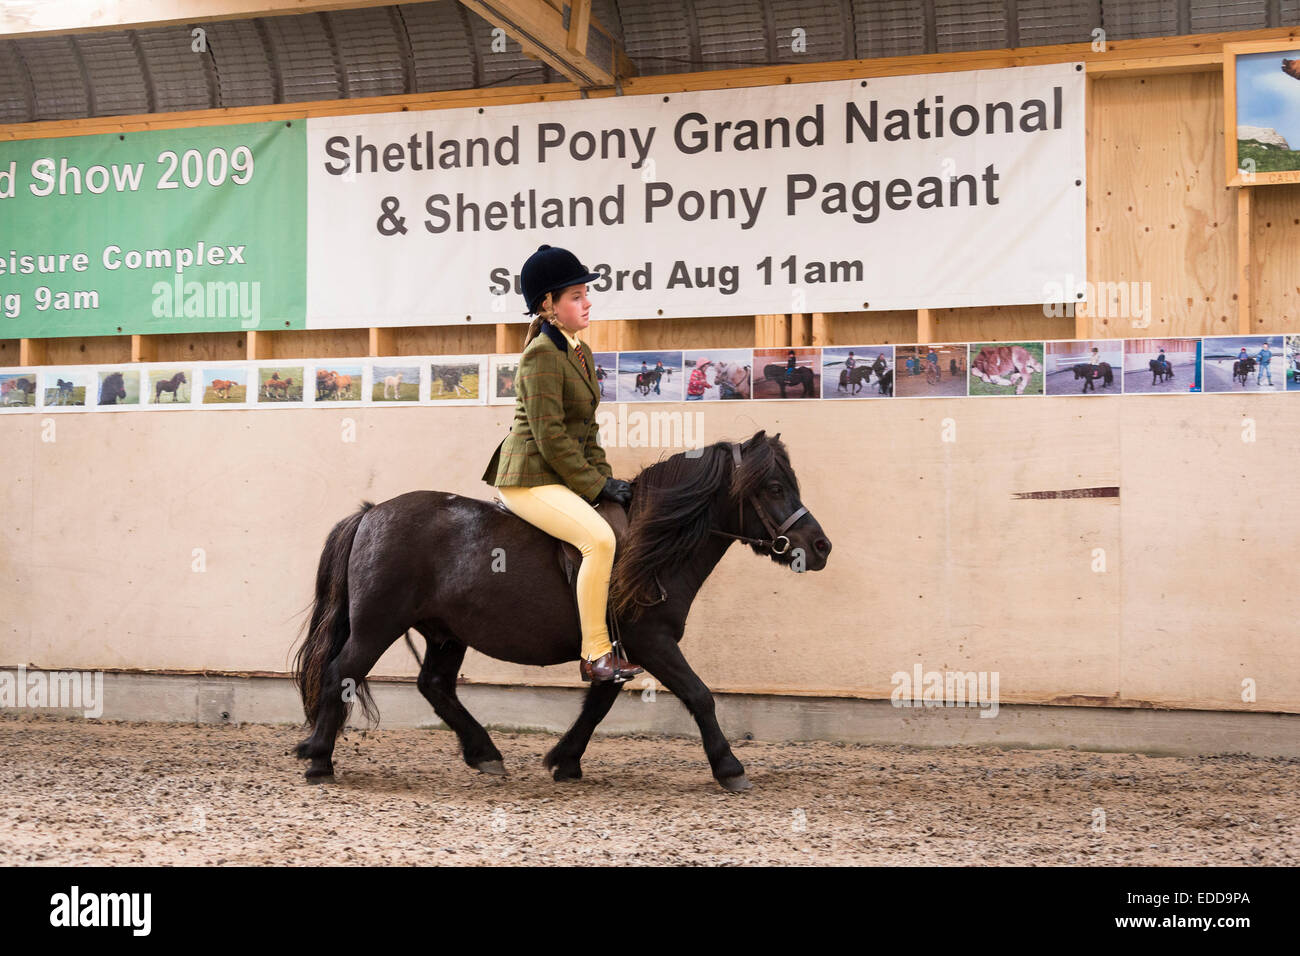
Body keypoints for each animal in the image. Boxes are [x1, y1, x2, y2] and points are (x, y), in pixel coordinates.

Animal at [291, 429, 831, 792]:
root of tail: (371, 514)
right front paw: (729, 767)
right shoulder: (652, 641)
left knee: (435, 686)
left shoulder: (618, 650)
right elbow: (699, 696)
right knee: (342, 672)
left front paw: (565, 761)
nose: (820, 546)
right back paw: (319, 761)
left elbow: (599, 703)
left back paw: (484, 754)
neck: (652, 542)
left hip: (446, 632)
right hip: (377, 624)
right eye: (776, 487)